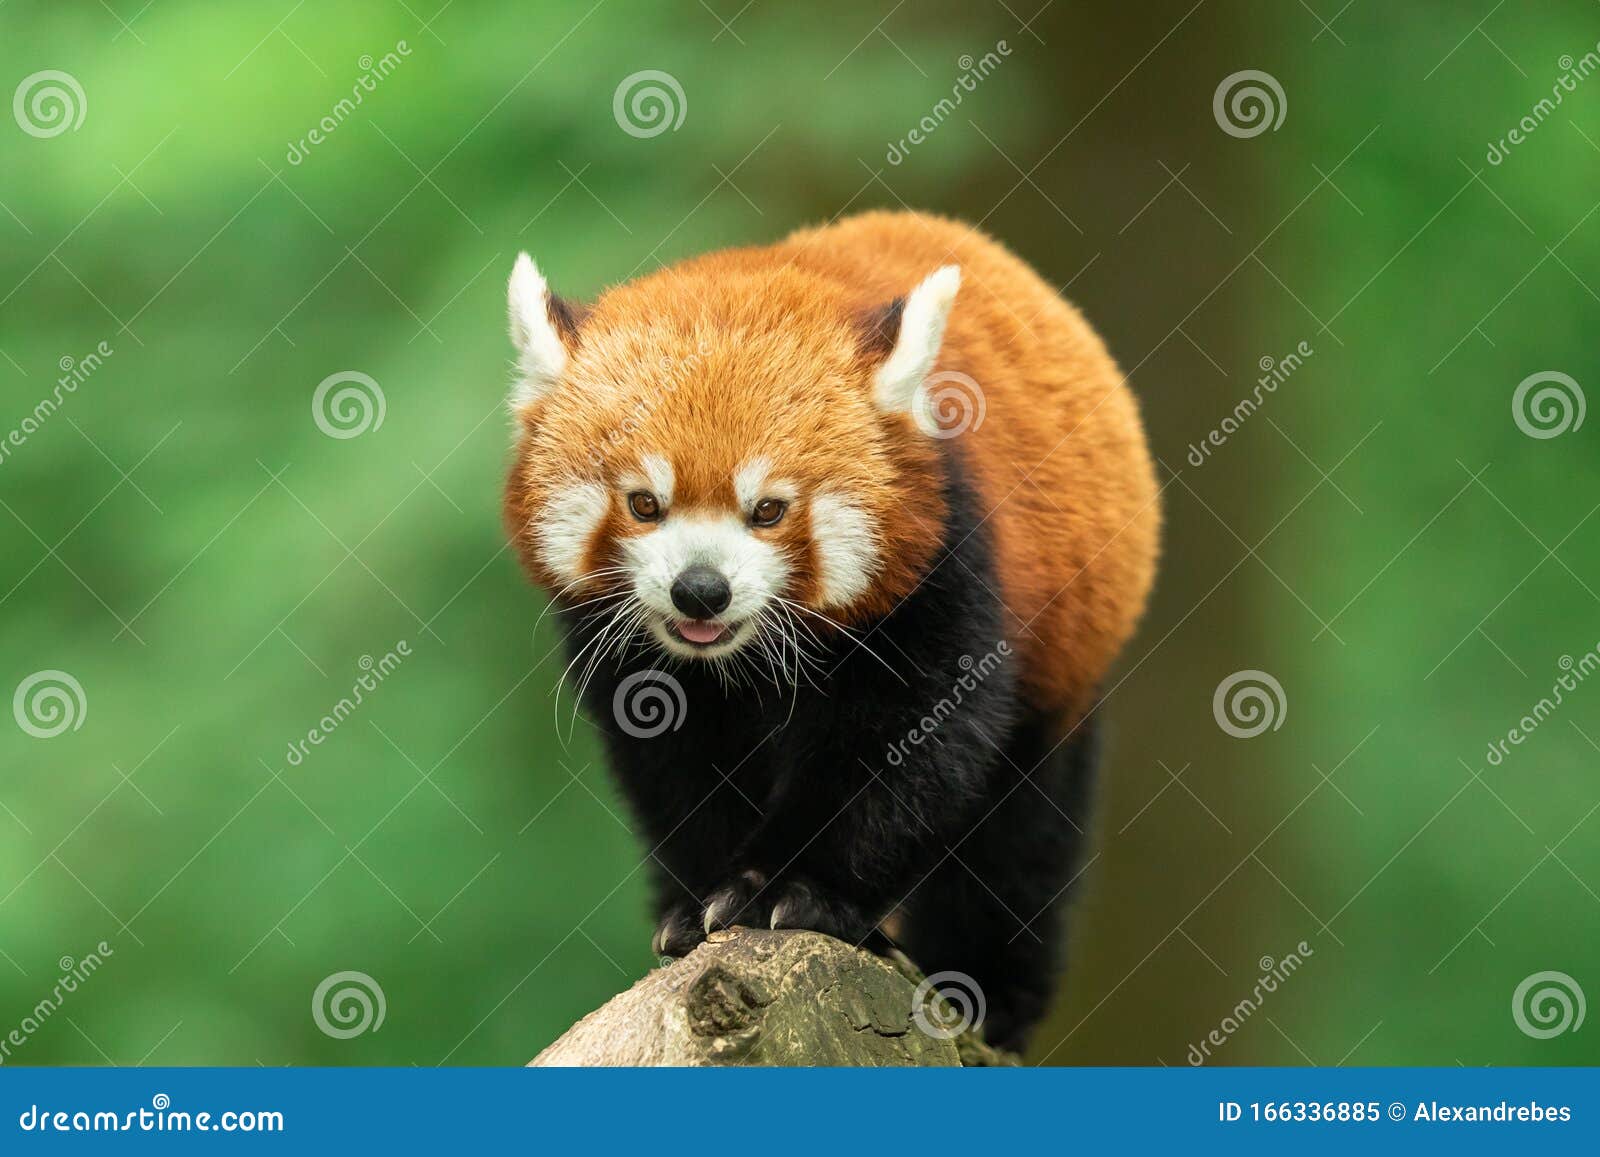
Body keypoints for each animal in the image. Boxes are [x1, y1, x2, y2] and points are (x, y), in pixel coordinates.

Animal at [503, 210, 1160, 1052]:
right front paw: (701, 904)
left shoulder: (945, 570)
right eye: (645, 503)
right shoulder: (630, 653)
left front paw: (793, 889)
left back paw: (986, 991)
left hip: (1067, 658)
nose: (701, 590)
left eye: (768, 509)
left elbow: (903, 749)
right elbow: (674, 768)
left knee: (1019, 841)